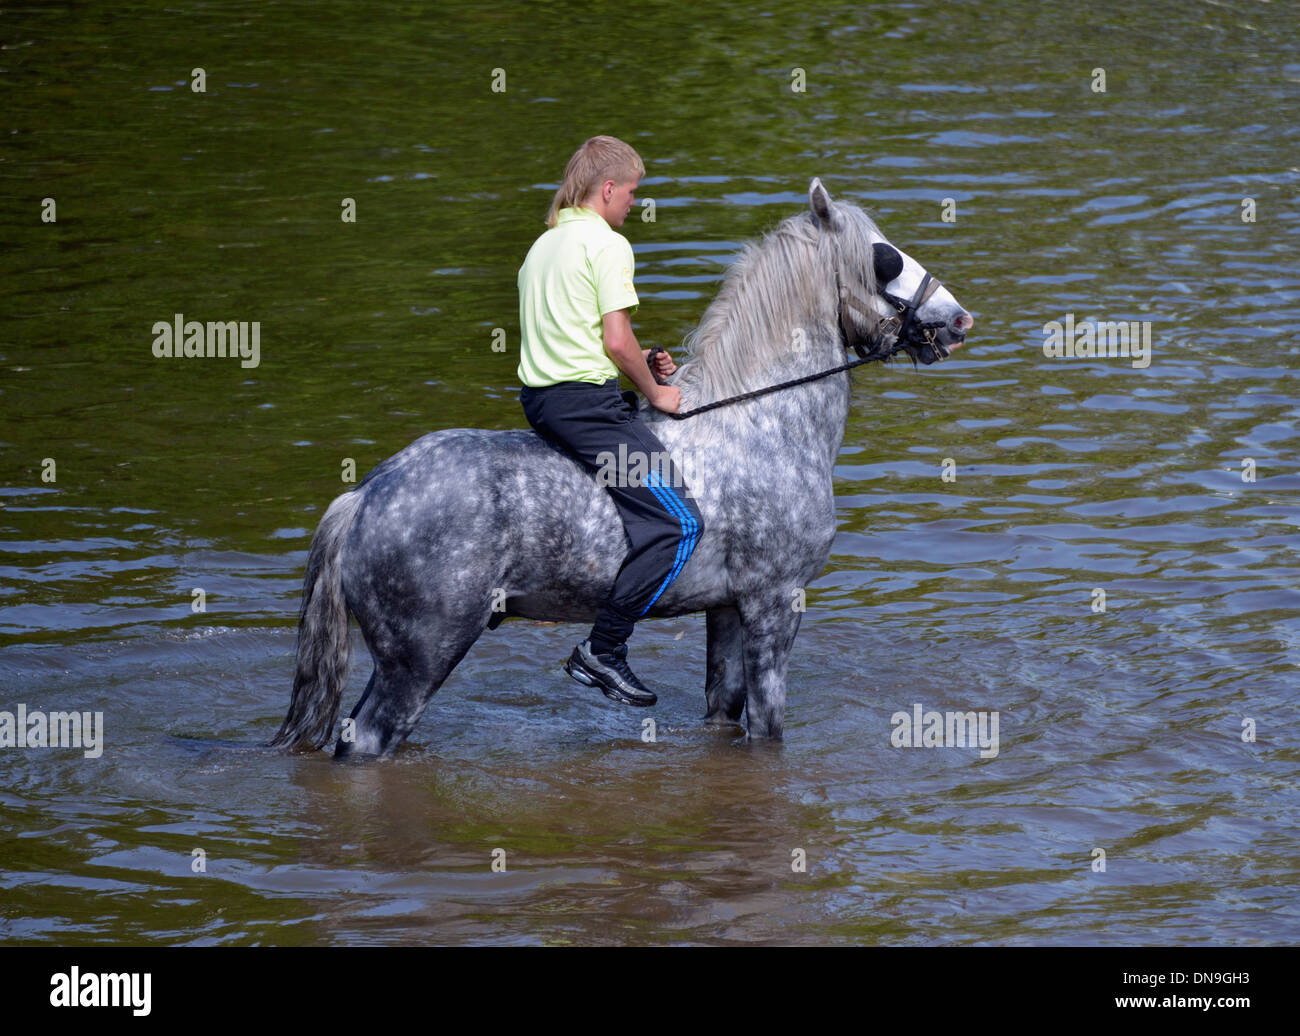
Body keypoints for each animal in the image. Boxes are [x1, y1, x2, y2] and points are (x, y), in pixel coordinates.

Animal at [270, 178, 973, 758]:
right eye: (884, 259)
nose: (958, 319)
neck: (758, 421)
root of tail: (365, 497)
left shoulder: (728, 610)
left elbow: (724, 711)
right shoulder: (775, 603)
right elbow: (767, 728)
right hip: (420, 656)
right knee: (368, 739)